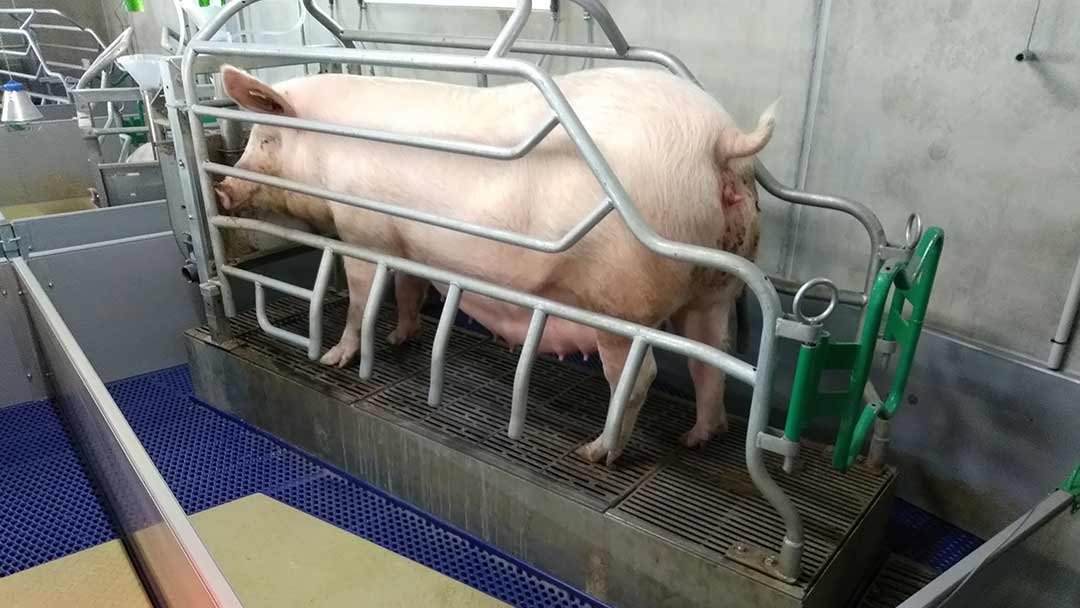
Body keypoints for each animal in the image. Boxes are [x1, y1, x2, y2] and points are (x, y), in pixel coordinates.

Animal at [214, 65, 773, 465]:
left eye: (264, 139)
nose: (221, 187)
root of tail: (721, 140)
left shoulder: (361, 230)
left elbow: (360, 299)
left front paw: (335, 358)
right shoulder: (405, 240)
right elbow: (409, 288)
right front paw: (400, 338)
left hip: (620, 301)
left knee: (640, 378)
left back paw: (594, 454)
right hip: (715, 285)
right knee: (711, 358)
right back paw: (695, 438)